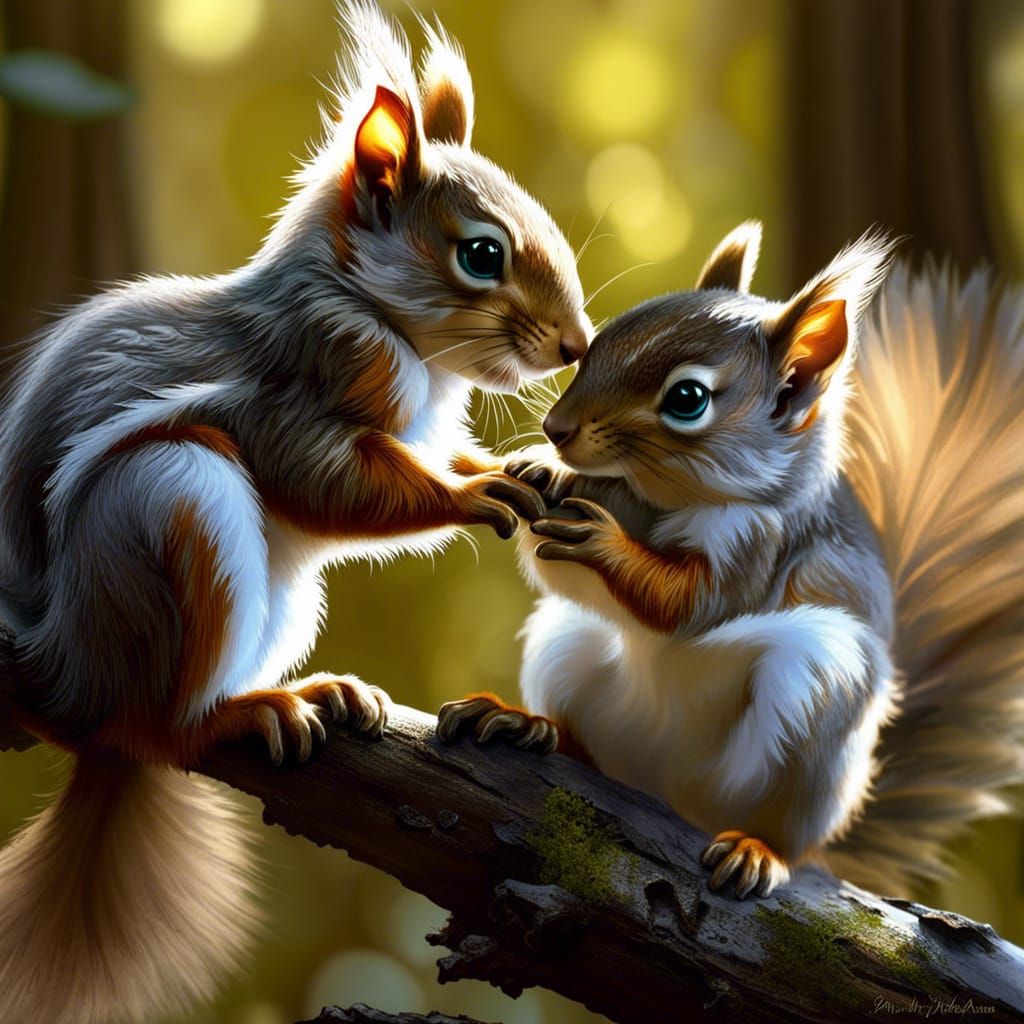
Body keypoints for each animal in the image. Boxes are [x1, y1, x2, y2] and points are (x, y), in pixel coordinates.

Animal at [0, 4, 588, 1022]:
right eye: (481, 253)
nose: (577, 343)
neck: (399, 336)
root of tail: (72, 689)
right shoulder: (294, 392)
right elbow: (333, 482)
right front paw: (476, 494)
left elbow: (435, 455)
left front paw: (526, 466)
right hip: (169, 504)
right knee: (158, 728)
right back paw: (243, 712)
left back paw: (321, 692)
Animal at [439, 220, 1024, 901]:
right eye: (596, 344)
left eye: (688, 398)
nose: (555, 428)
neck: (674, 501)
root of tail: (667, 789)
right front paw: (541, 473)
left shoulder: (760, 544)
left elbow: (690, 603)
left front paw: (602, 538)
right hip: (569, 649)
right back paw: (528, 726)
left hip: (817, 702)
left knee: (786, 830)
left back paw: (757, 849)